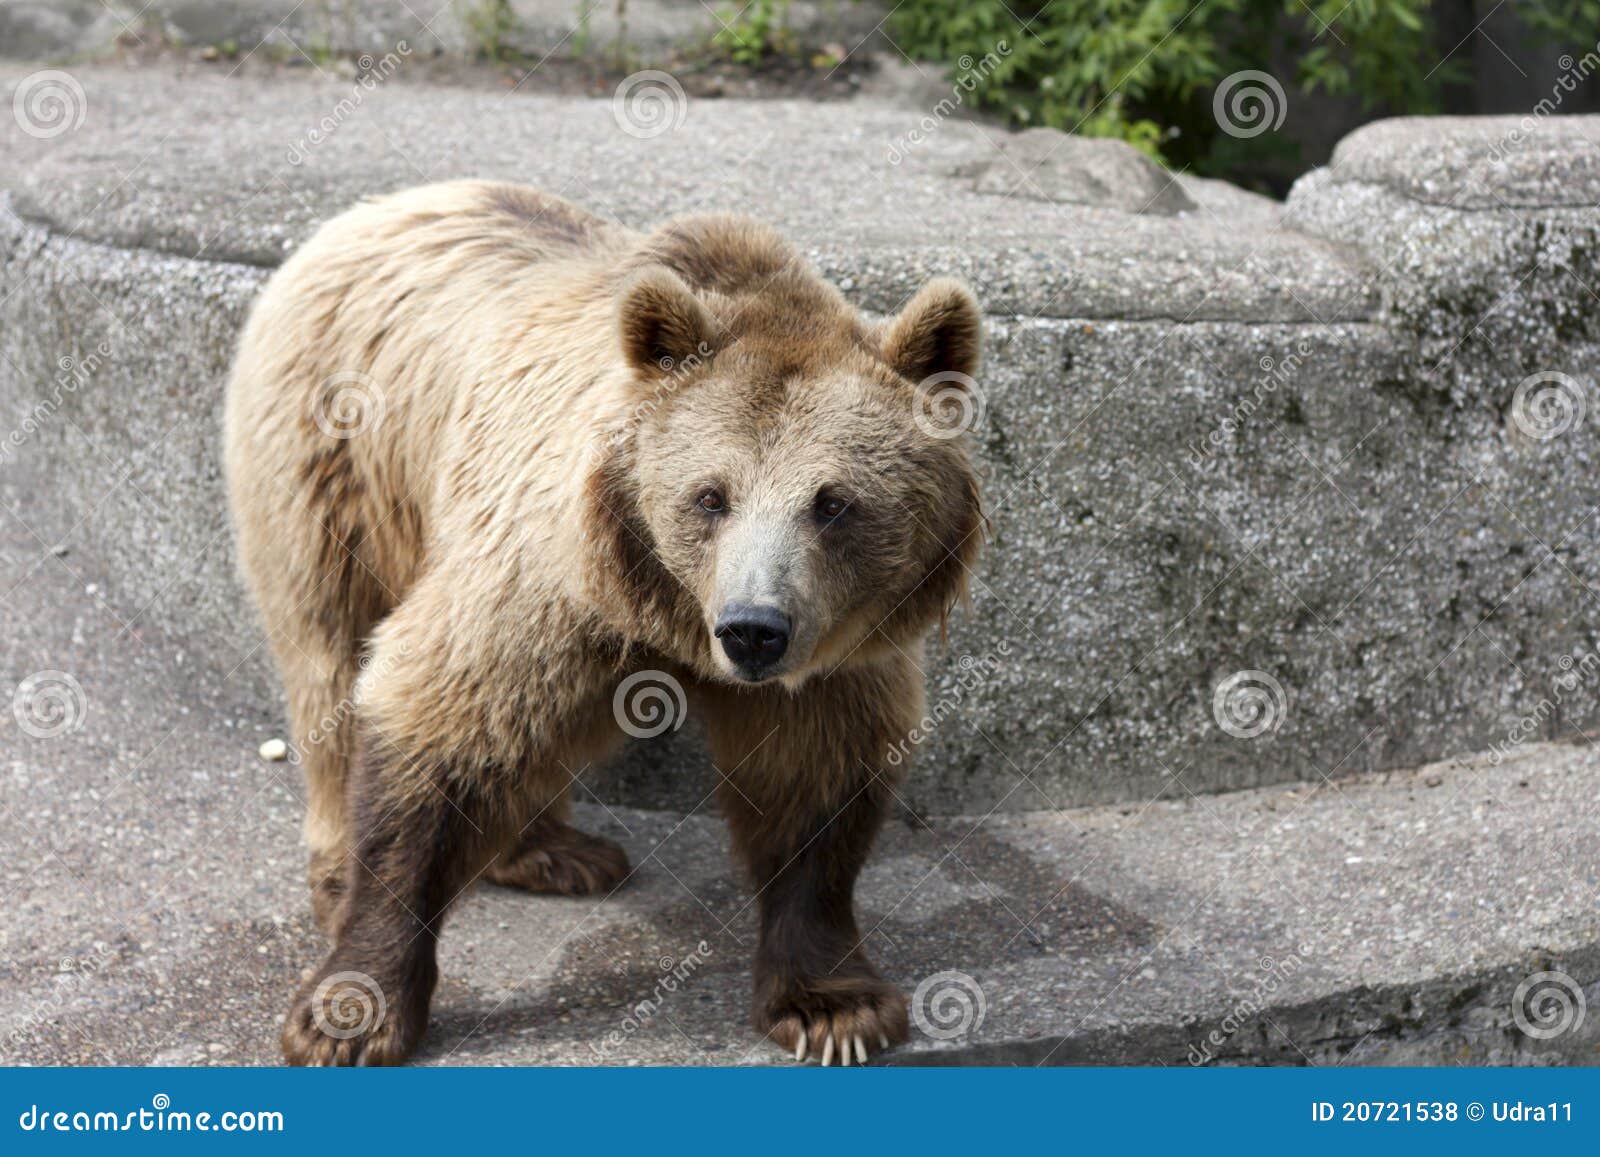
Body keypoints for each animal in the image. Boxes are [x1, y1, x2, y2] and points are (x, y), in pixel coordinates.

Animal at [223, 180, 983, 1067]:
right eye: (710, 494)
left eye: (833, 502)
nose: (753, 628)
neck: (668, 610)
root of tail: (381, 205)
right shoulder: (544, 576)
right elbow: (437, 714)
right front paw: (349, 1011)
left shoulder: (832, 649)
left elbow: (815, 778)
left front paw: (834, 1005)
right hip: (339, 458)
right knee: (331, 656)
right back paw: (344, 868)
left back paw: (555, 849)